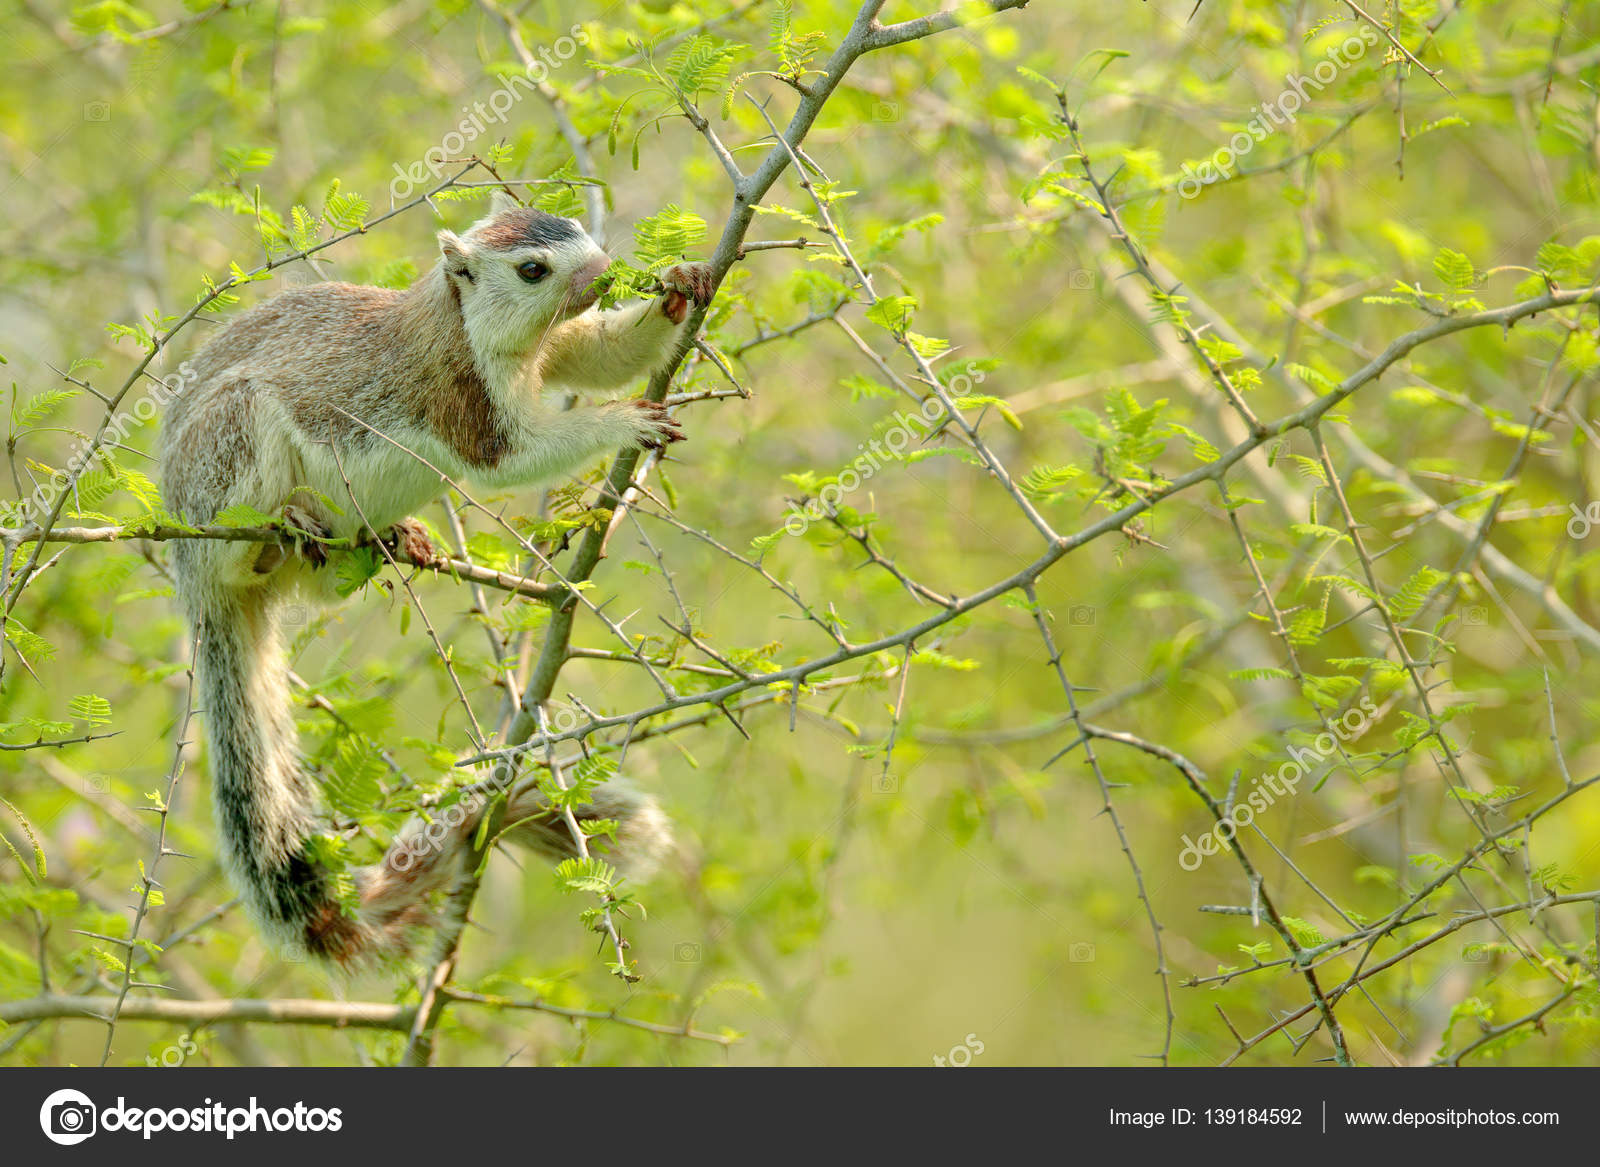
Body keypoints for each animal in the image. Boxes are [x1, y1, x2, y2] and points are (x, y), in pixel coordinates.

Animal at [158, 191, 712, 965]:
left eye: (578, 227)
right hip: (228, 449)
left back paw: (397, 539)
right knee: (236, 541)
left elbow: (604, 354)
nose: (603, 271)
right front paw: (625, 422)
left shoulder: (556, 349)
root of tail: (201, 593)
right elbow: (517, 456)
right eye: (533, 269)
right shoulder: (462, 400)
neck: (491, 338)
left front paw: (680, 287)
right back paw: (283, 526)